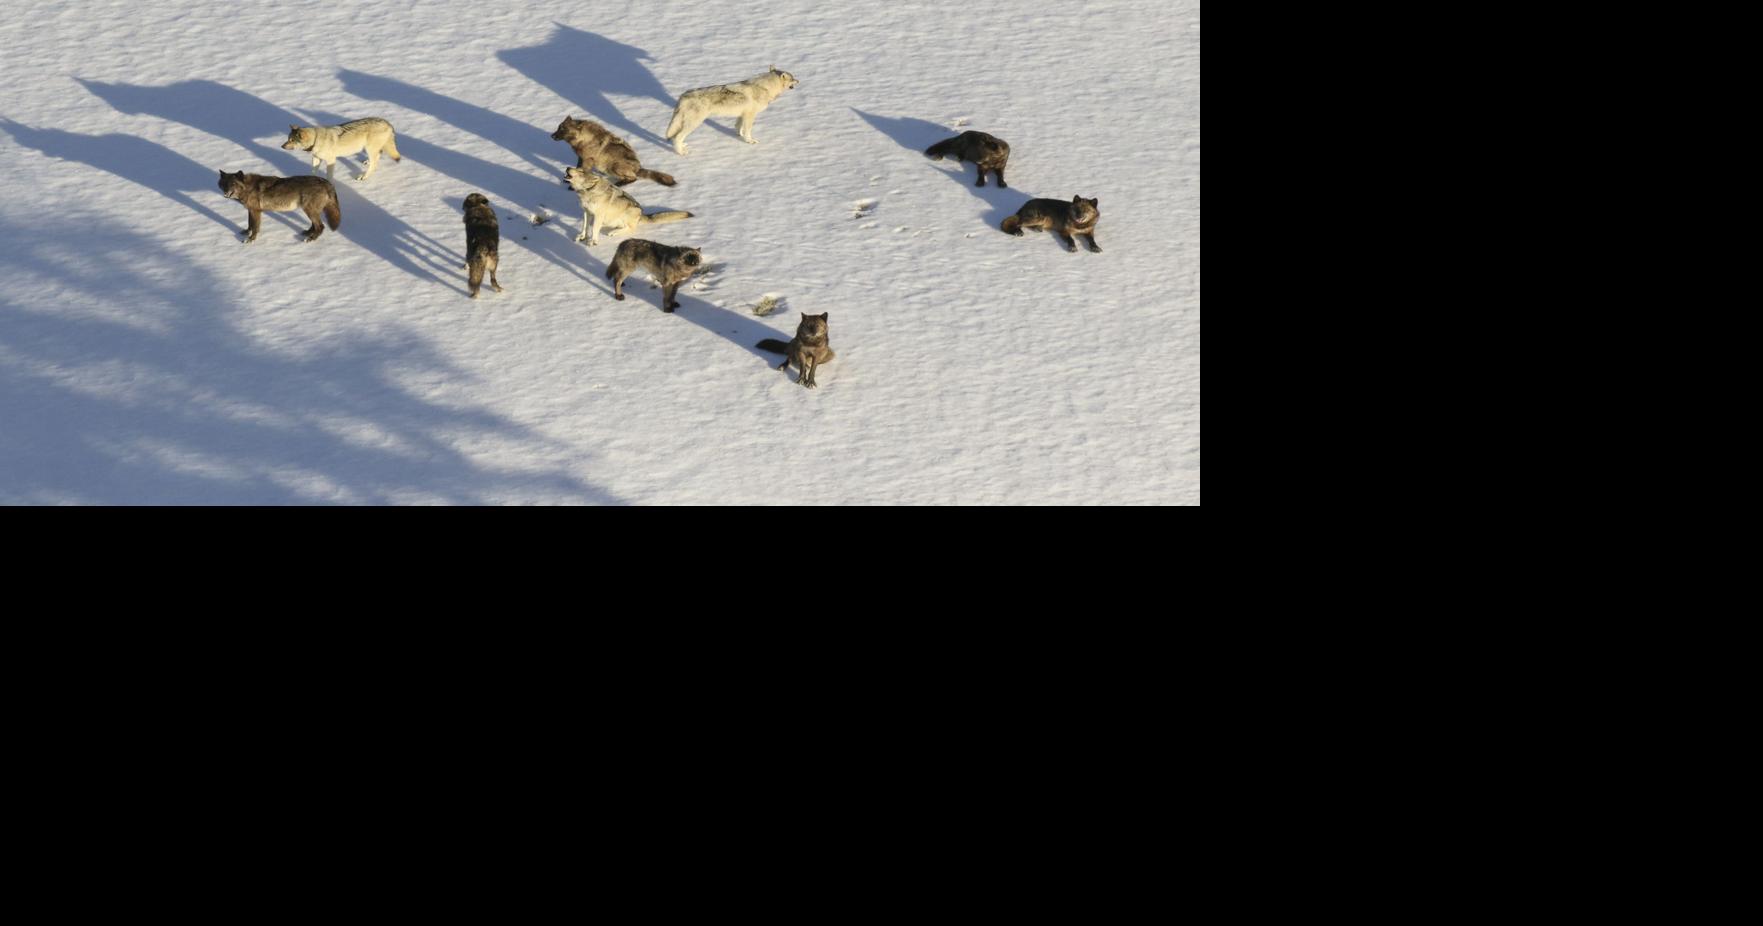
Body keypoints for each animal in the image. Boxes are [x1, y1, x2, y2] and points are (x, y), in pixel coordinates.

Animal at [562, 167, 693, 247]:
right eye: (576, 168)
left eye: (581, 171)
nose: (568, 167)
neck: (588, 191)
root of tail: (642, 214)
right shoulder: (586, 212)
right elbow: (584, 226)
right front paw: (582, 237)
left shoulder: (598, 215)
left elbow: (594, 229)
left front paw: (593, 242)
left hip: (629, 211)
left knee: (630, 228)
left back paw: (613, 232)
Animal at [665, 67, 799, 155]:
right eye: (793, 78)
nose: (799, 80)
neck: (765, 87)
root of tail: (683, 96)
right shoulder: (750, 115)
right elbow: (748, 131)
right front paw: (750, 141)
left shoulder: (742, 115)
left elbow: (738, 128)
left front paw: (739, 136)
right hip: (694, 123)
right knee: (677, 137)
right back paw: (682, 153)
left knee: (675, 137)